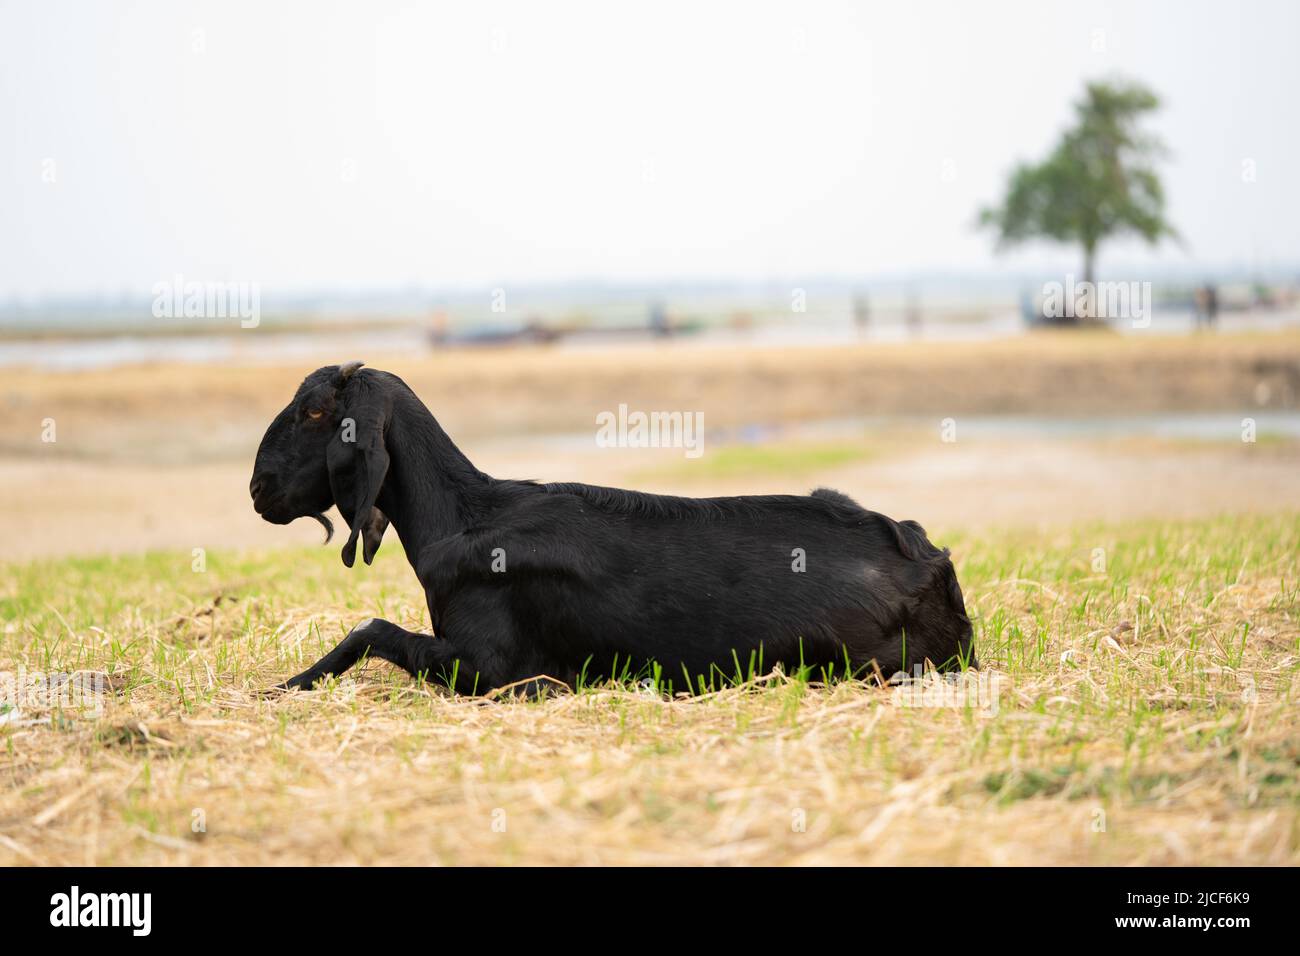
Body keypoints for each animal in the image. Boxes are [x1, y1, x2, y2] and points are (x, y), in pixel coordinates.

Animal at [251, 362, 976, 695]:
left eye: (314, 409)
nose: (258, 489)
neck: (461, 514)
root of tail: (929, 559)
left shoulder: (498, 669)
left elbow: (369, 629)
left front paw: (287, 685)